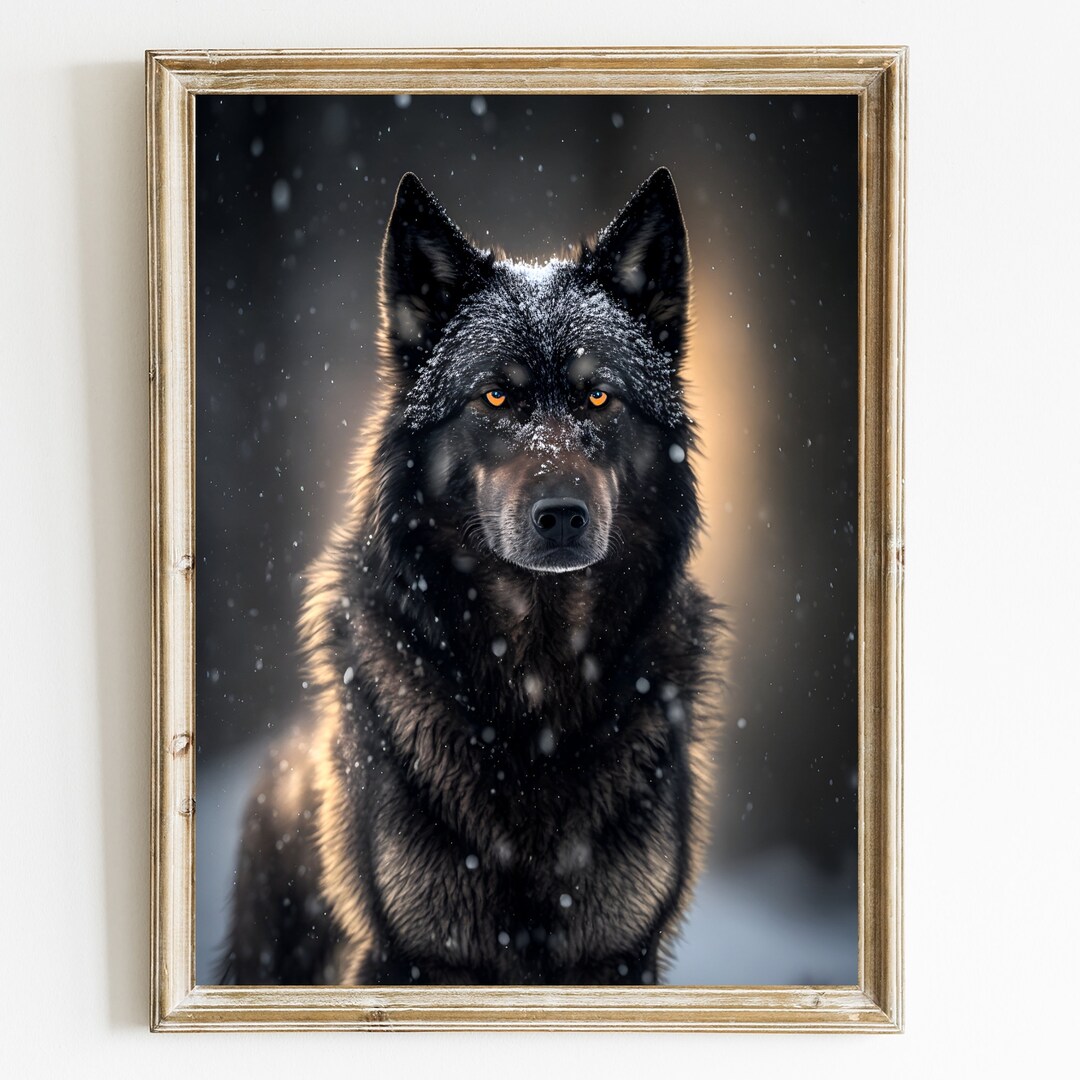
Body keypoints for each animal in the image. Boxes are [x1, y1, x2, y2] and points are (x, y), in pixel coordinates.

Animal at [222, 167, 722, 986]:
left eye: (598, 396)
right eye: (494, 395)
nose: (562, 516)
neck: (538, 684)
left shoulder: (618, 957)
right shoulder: (414, 958)